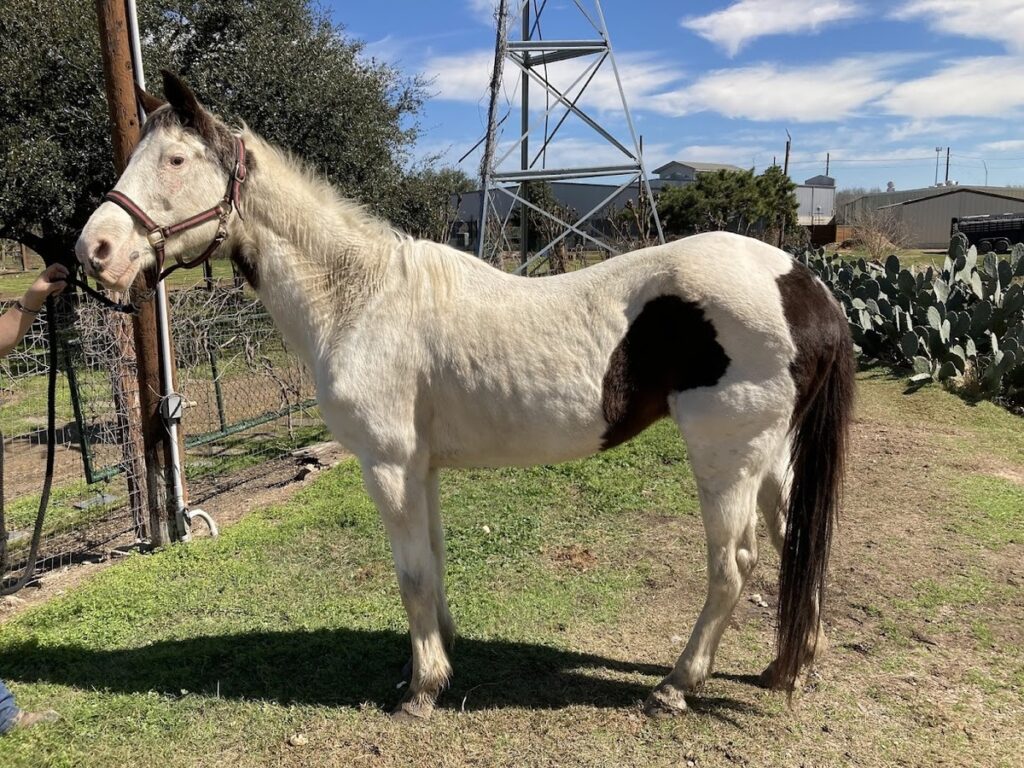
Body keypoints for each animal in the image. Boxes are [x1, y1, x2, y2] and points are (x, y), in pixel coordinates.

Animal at [76, 71, 854, 721]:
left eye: (176, 160)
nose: (94, 252)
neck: (359, 300)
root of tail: (801, 283)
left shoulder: (388, 467)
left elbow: (412, 574)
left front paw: (422, 689)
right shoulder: (420, 468)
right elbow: (436, 561)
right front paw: (438, 656)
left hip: (726, 460)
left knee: (735, 566)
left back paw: (676, 685)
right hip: (770, 460)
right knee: (794, 537)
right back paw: (789, 668)